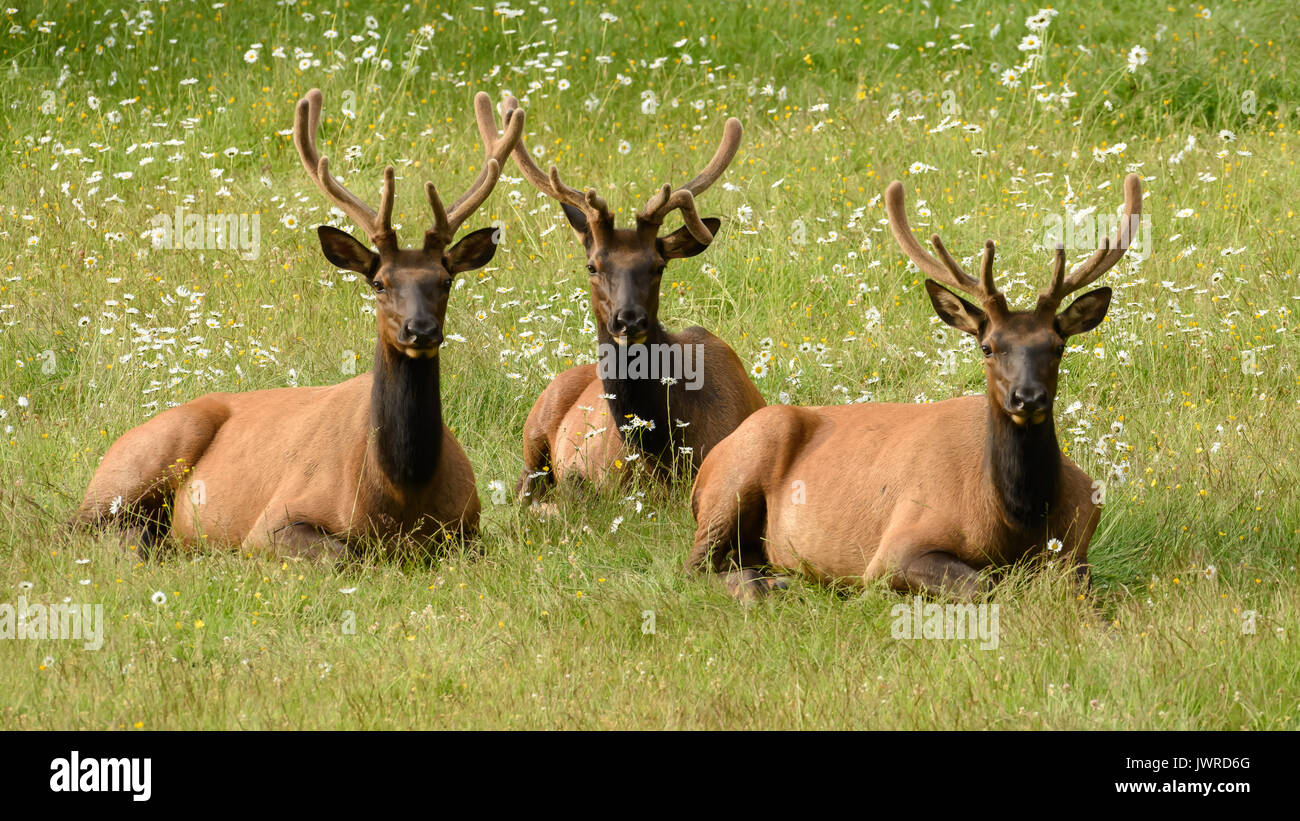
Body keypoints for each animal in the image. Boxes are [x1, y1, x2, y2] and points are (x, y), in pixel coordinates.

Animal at [70, 89, 524, 558]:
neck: (402, 498)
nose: (421, 330)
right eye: (378, 283)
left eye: (446, 280)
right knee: (79, 527)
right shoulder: (271, 522)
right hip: (138, 462)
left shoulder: (469, 528)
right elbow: (342, 555)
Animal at [687, 174, 1143, 600]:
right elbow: (983, 585)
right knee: (694, 568)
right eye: (988, 346)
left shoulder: (1078, 547)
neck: (1017, 522)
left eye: (1058, 345)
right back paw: (762, 586)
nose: (1027, 397)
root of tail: (704, 469)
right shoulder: (895, 547)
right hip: (738, 471)